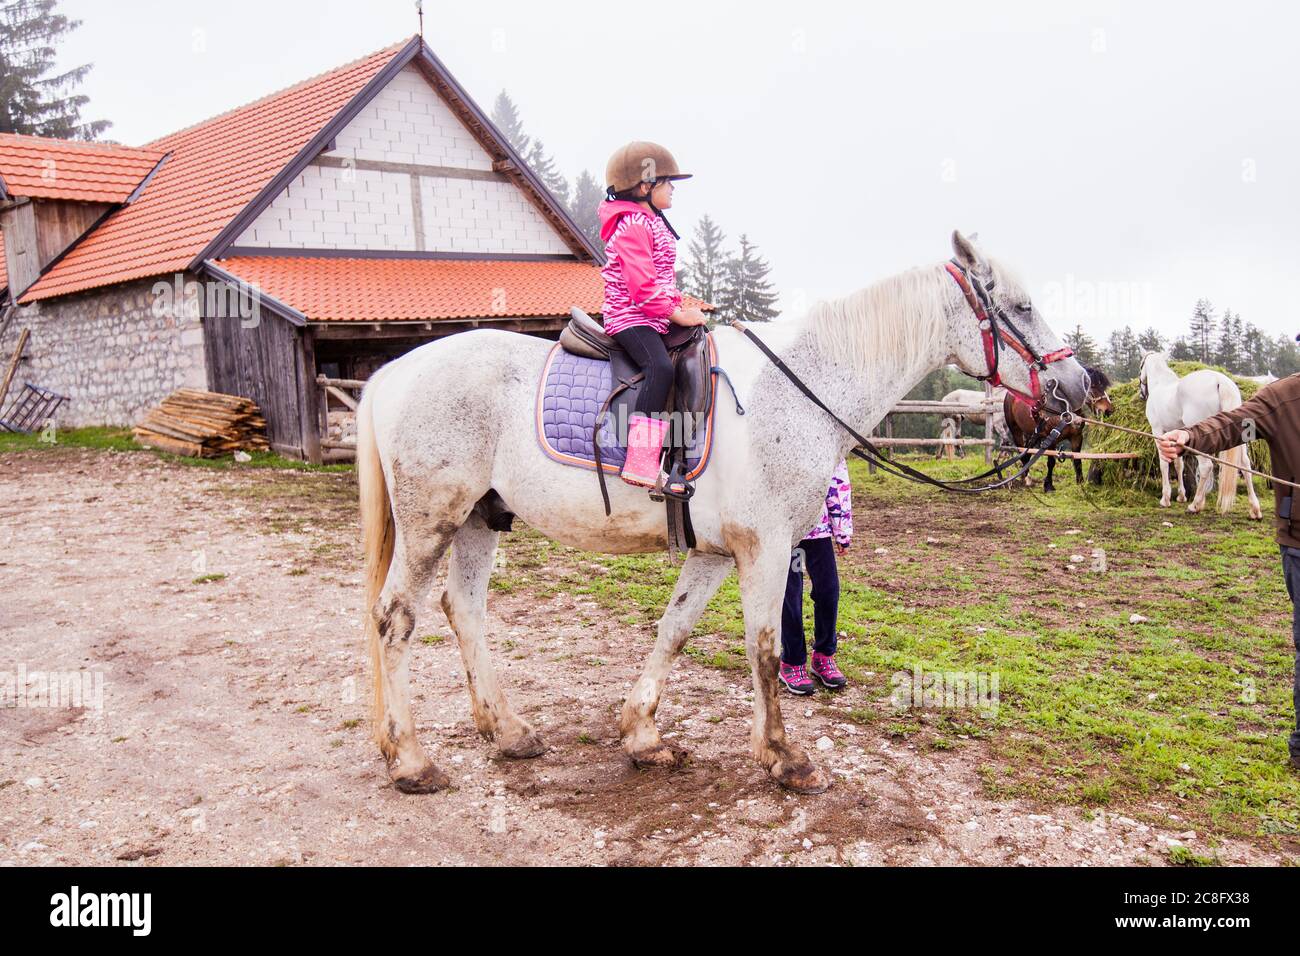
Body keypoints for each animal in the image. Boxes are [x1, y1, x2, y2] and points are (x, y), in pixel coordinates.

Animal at [353, 234, 1086, 801]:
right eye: (1020, 306)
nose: (1079, 385)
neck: (797, 389)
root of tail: (389, 373)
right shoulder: (765, 547)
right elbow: (765, 648)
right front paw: (786, 759)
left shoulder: (711, 553)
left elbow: (673, 631)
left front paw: (643, 736)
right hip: (431, 522)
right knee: (395, 620)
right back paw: (411, 761)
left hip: (480, 518)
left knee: (465, 609)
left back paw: (507, 732)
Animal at [1138, 348, 1258, 515]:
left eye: (1140, 366)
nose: (1142, 394)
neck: (1161, 384)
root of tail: (1219, 380)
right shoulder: (1175, 434)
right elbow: (1178, 464)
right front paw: (1181, 496)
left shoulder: (1158, 432)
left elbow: (1164, 463)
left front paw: (1165, 499)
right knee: (1245, 464)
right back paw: (1254, 509)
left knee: (1206, 467)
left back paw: (1195, 505)